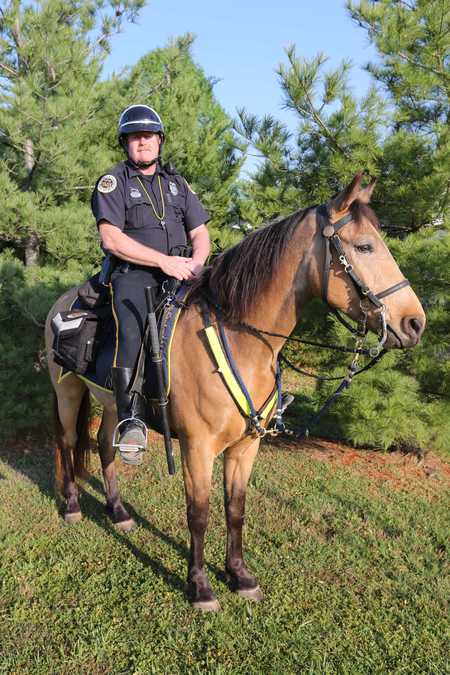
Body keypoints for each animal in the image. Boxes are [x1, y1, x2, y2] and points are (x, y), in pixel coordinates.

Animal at [45, 174, 425, 611]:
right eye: (364, 246)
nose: (415, 323)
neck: (238, 334)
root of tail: (63, 301)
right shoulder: (197, 448)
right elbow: (199, 513)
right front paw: (200, 585)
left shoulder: (245, 447)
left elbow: (235, 509)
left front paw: (239, 575)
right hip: (67, 392)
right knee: (67, 441)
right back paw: (73, 506)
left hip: (112, 403)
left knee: (107, 446)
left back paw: (119, 512)